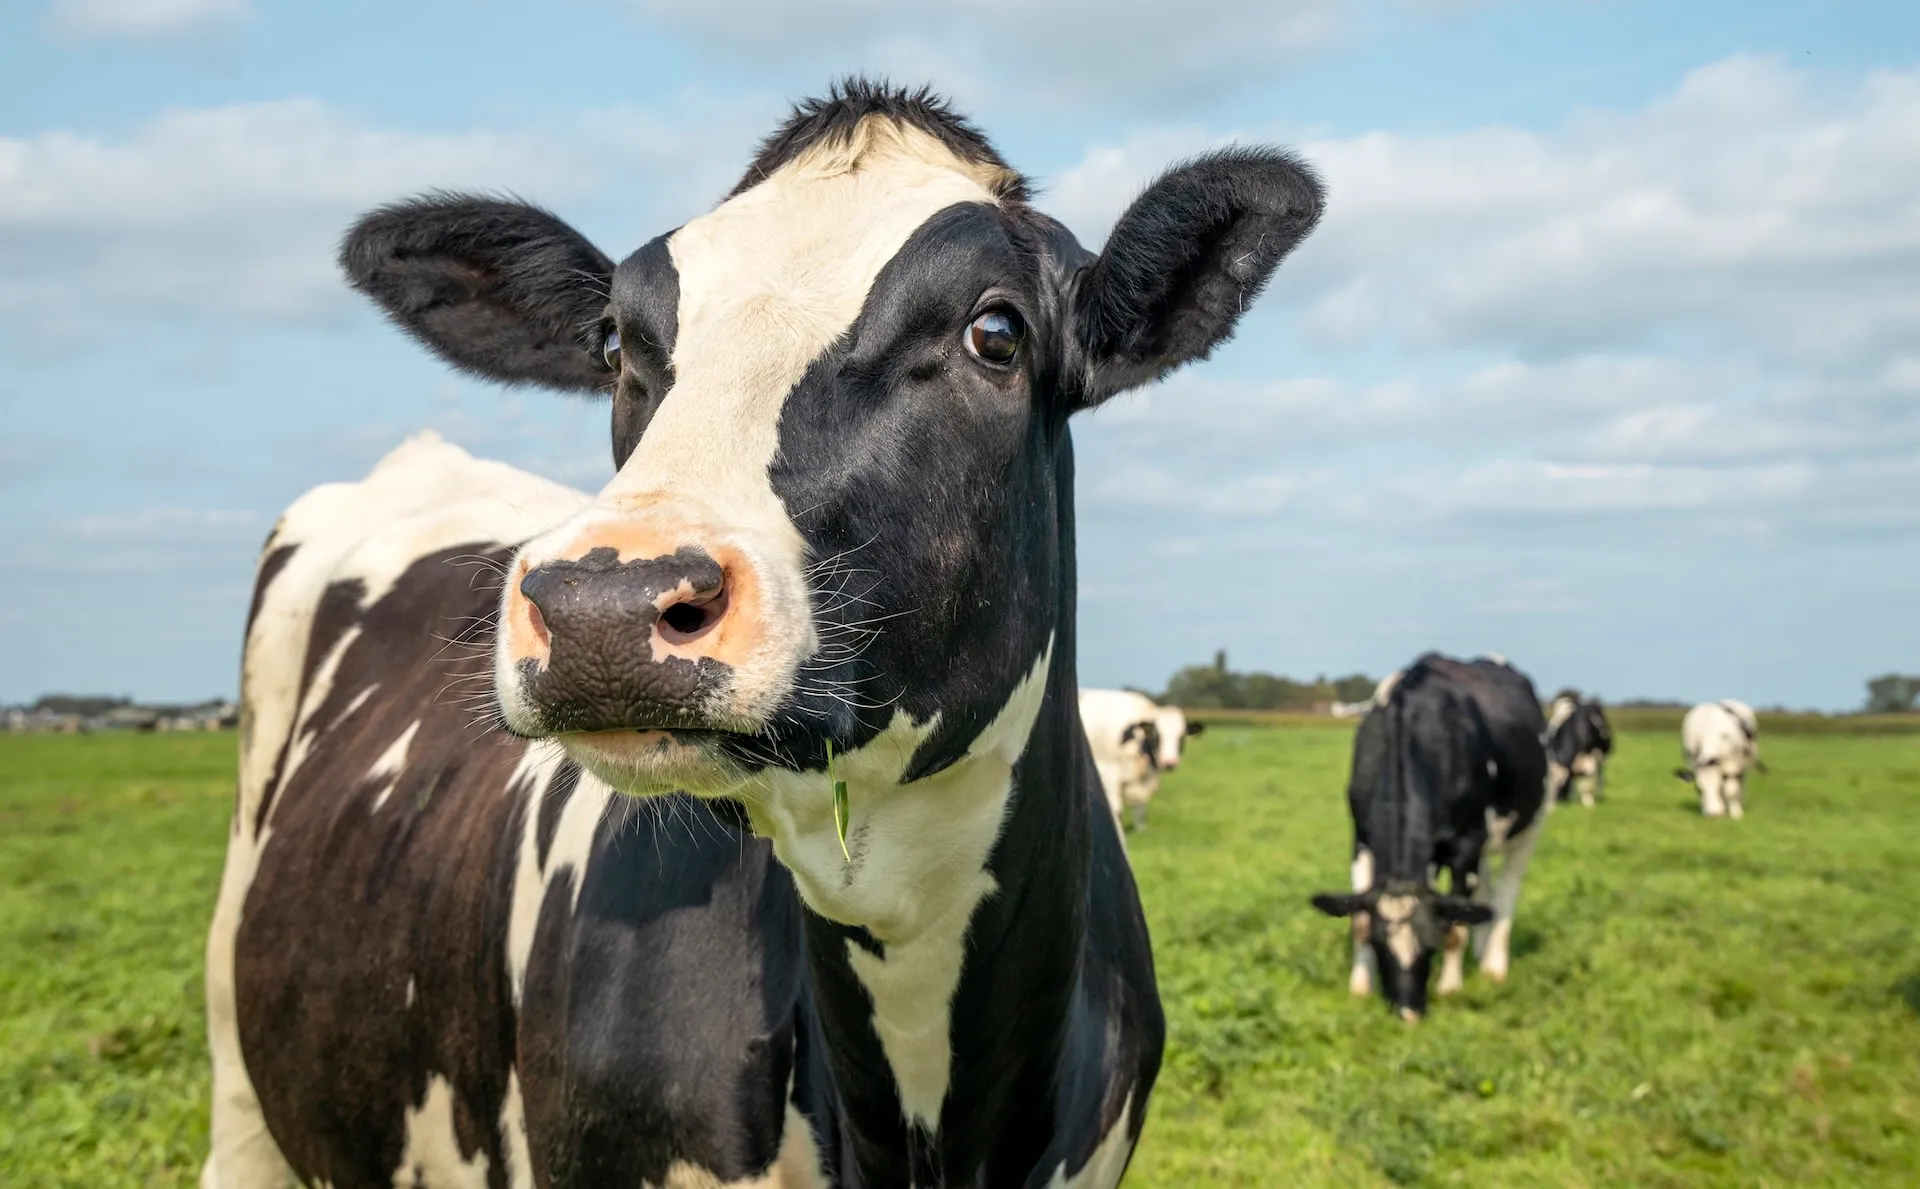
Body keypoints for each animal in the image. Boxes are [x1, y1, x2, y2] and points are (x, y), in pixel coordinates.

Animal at [1079, 688, 1205, 831]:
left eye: (1181, 736)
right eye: (1156, 735)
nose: (1169, 762)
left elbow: (1140, 809)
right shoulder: (1109, 774)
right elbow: (1116, 811)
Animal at [1309, 654, 1549, 1020]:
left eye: (1431, 944)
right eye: (1379, 944)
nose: (1409, 1014)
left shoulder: (1467, 843)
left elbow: (1456, 925)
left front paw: (1449, 988)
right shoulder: (1361, 837)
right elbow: (1359, 919)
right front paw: (1360, 989)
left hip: (1529, 825)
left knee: (1507, 890)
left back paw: (1494, 966)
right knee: (1484, 892)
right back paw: (1481, 952)